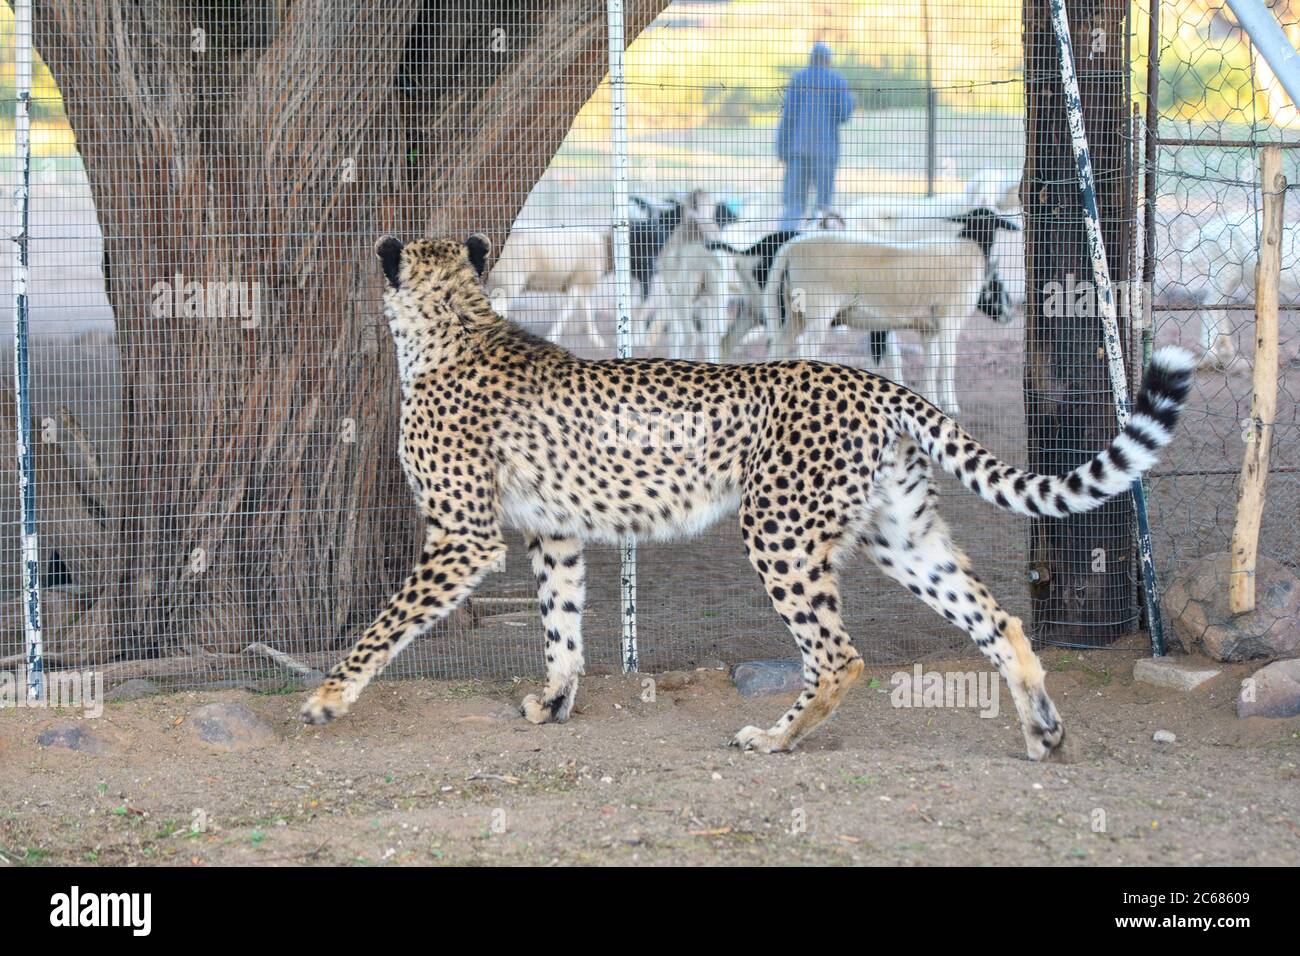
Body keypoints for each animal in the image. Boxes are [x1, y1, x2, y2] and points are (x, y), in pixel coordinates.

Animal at [300, 232, 1194, 760]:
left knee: (838, 655)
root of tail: (870, 379)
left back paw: (776, 737)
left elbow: (384, 626)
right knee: (998, 619)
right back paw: (1042, 730)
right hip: (899, 533)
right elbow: (563, 627)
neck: (456, 323)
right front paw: (554, 704)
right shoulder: (553, 534)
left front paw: (326, 698)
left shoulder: (464, 537)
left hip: (778, 531)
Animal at [761, 208, 1020, 414]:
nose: (1010, 315)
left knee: (780, 346)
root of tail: (791, 248)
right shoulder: (949, 317)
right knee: (805, 350)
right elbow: (948, 361)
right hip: (819, 308)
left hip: (795, 311)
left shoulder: (930, 328)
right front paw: (952, 405)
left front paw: (933, 401)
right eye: (996, 285)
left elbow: (932, 362)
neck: (969, 249)